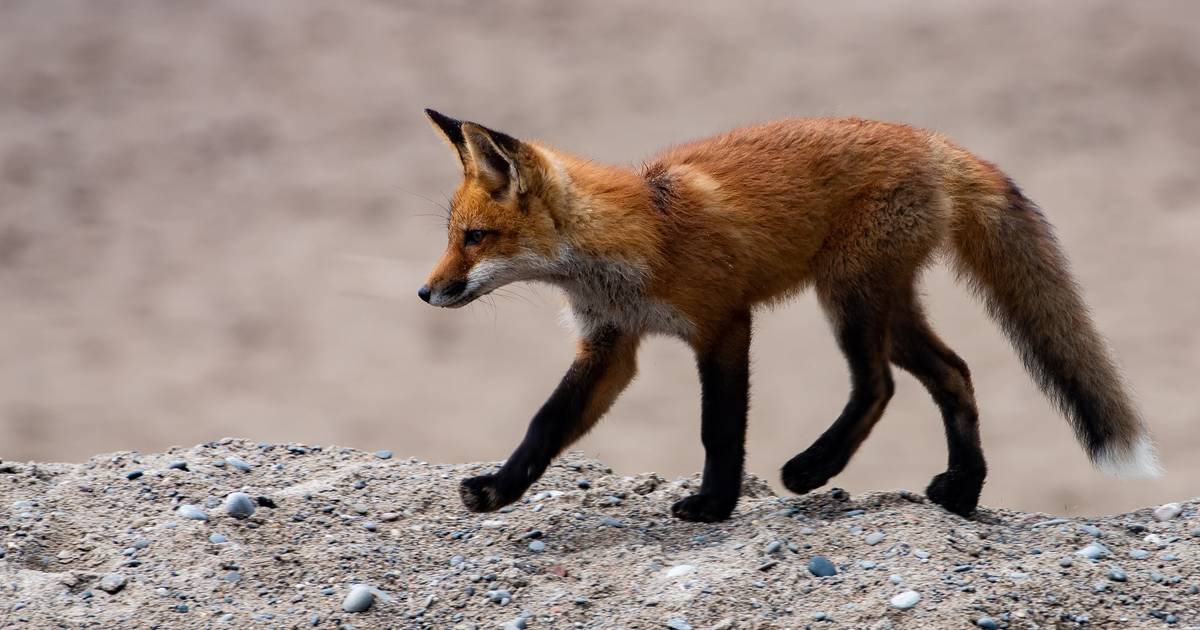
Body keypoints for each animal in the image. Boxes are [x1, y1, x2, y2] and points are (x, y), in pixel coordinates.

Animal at [417, 109, 1161, 522]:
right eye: (451, 236)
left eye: (475, 238)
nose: (427, 293)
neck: (640, 232)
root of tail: (931, 140)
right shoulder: (610, 345)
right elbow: (545, 426)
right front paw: (499, 490)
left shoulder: (722, 324)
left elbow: (720, 430)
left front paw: (714, 507)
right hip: (886, 308)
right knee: (954, 373)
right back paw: (963, 491)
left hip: (849, 299)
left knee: (878, 385)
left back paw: (814, 468)